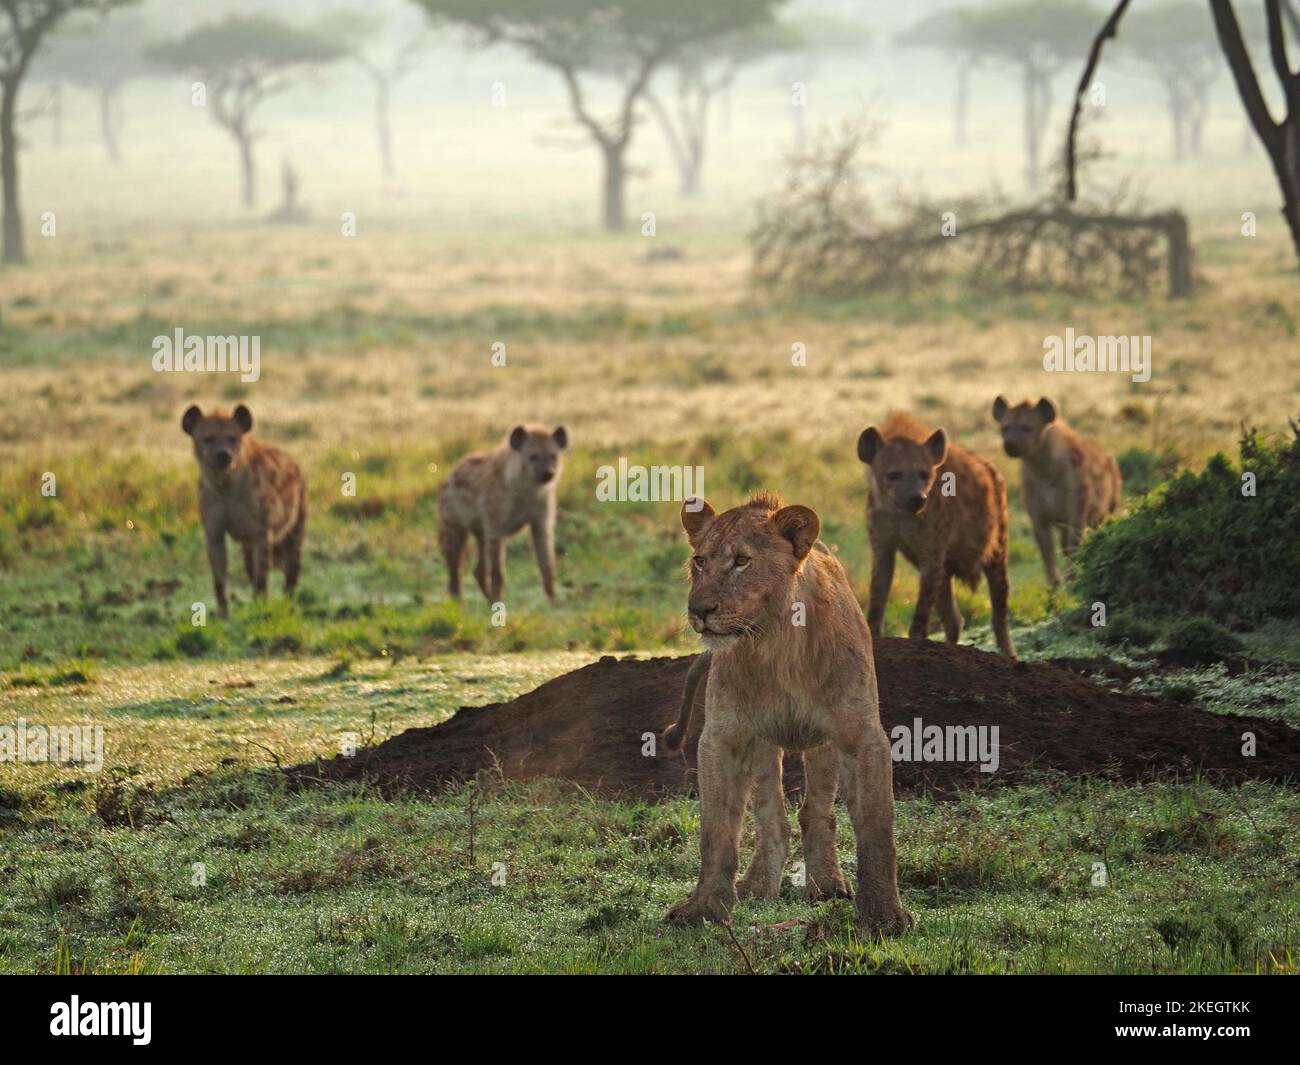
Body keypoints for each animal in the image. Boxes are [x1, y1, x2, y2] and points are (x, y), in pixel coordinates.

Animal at [664, 492, 913, 935]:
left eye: (742, 561)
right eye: (700, 561)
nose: (699, 610)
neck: (775, 643)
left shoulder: (860, 734)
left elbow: (876, 829)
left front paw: (884, 916)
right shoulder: (722, 738)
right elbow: (717, 832)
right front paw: (704, 908)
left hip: (823, 744)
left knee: (817, 811)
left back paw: (826, 884)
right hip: (763, 744)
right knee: (772, 817)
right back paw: (758, 884)